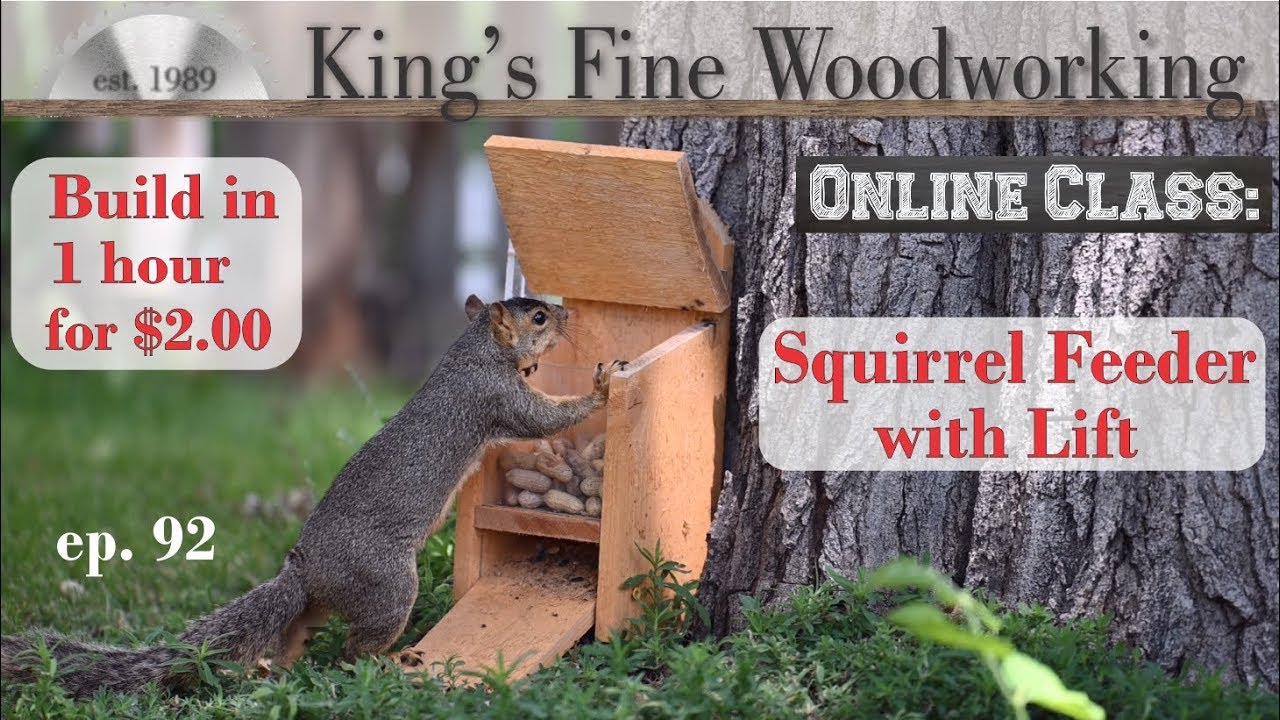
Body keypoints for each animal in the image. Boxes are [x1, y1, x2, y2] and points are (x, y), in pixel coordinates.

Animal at [1, 295, 626, 699]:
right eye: (539, 316)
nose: (568, 314)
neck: (472, 351)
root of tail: (305, 568)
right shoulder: (493, 396)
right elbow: (541, 418)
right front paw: (600, 387)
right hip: (387, 586)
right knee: (353, 651)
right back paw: (390, 661)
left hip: (324, 602)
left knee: (296, 635)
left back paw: (271, 670)